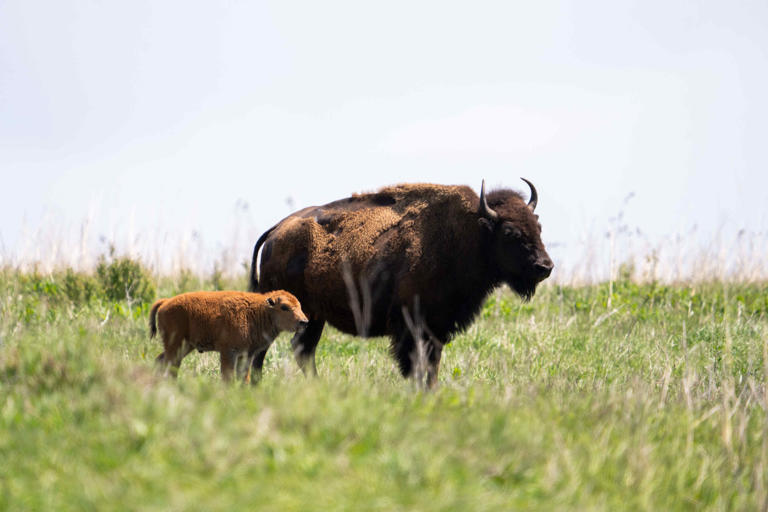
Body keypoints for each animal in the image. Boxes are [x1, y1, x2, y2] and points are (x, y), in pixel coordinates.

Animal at [149, 290, 309, 382]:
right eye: (284, 307)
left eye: (300, 306)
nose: (304, 321)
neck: (259, 311)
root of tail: (166, 302)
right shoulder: (229, 352)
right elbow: (228, 377)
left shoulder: (246, 355)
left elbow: (244, 377)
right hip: (175, 345)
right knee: (169, 365)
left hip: (185, 346)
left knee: (164, 362)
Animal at [249, 179, 553, 387]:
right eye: (510, 232)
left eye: (538, 227)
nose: (545, 266)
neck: (470, 234)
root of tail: (276, 232)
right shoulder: (412, 326)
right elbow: (414, 365)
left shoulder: (436, 328)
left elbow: (431, 365)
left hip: (313, 317)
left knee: (303, 349)